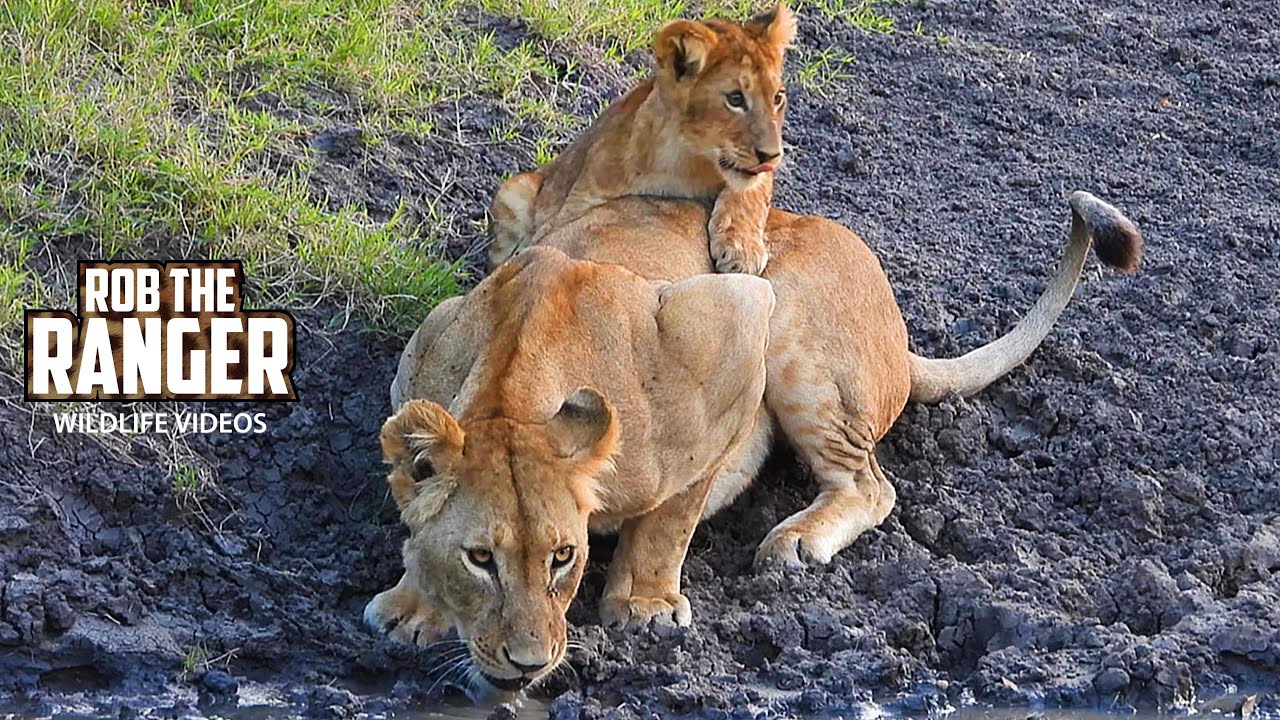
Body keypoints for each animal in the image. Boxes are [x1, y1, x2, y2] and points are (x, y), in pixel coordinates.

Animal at [367, 190, 1143, 691]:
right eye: (479, 559)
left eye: (564, 558)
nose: (529, 664)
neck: (514, 384)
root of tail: (900, 336)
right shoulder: (429, 344)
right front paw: (413, 603)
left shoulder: (733, 319)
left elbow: (673, 513)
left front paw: (644, 608)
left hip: (791, 319)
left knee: (871, 484)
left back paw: (797, 542)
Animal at [487, 3, 795, 276]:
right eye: (735, 99)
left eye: (777, 98)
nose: (771, 155)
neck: (688, 162)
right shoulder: (578, 199)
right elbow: (560, 236)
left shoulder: (755, 175)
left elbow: (753, 191)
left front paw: (742, 250)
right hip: (516, 190)